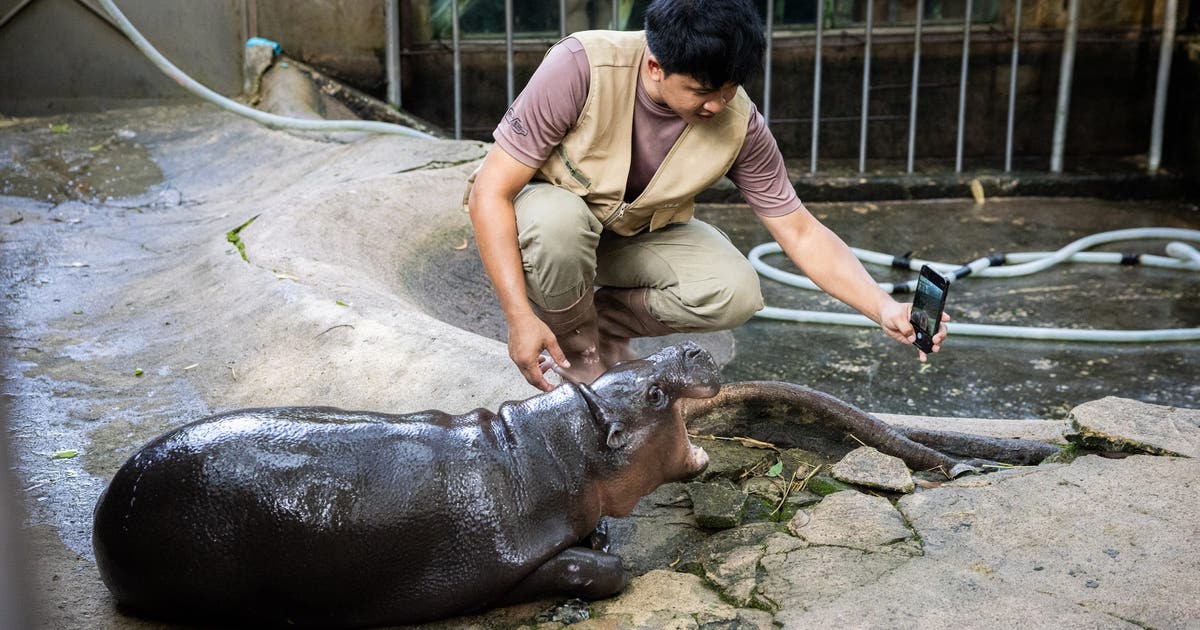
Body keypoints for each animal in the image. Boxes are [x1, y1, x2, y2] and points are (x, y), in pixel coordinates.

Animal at [92, 342, 719, 628]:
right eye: (653, 394)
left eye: (634, 360)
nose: (690, 347)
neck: (561, 447)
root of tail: (108, 508)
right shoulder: (504, 564)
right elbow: (598, 569)